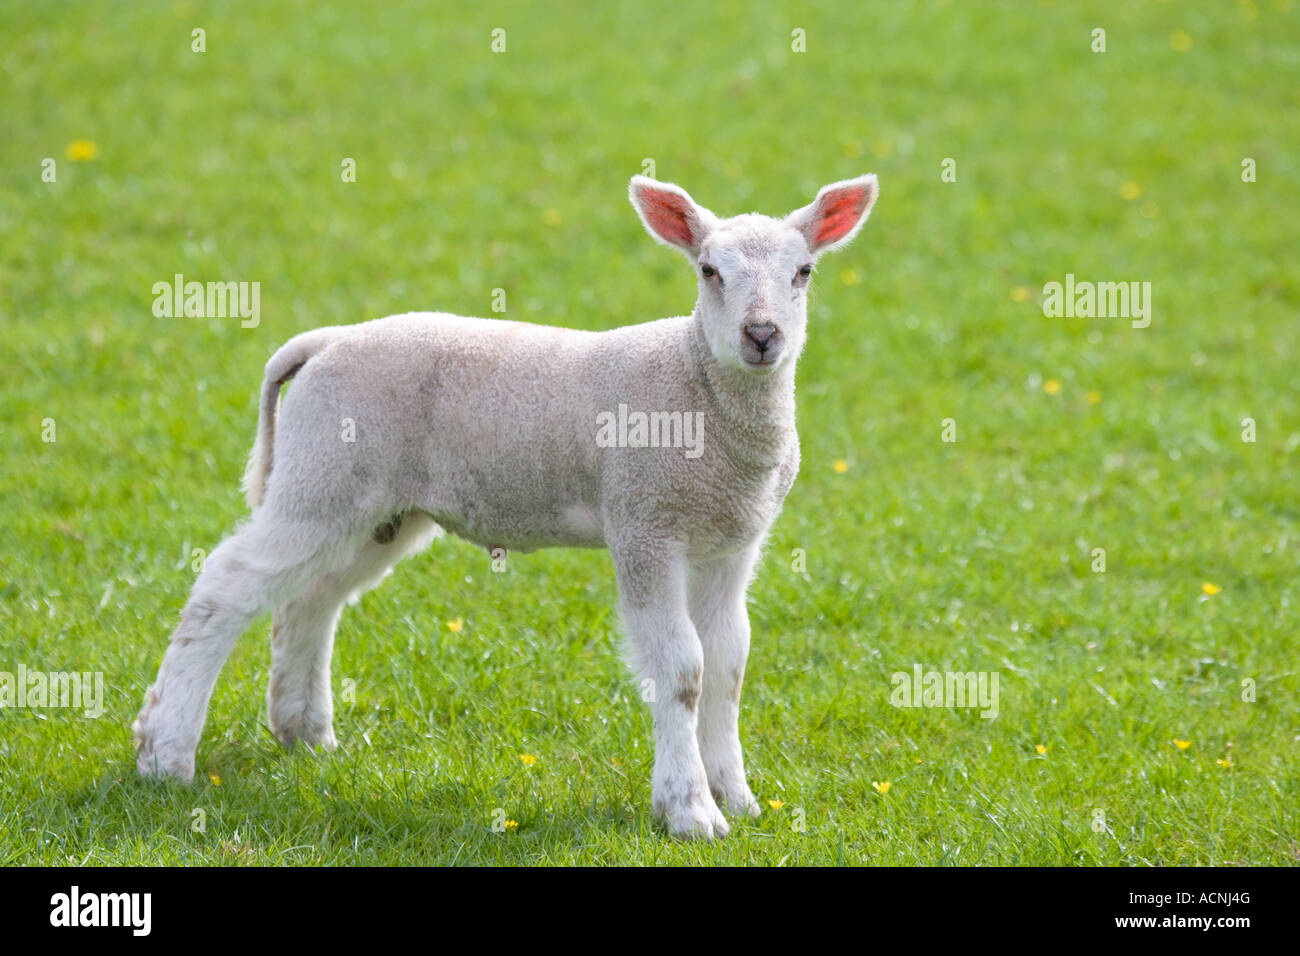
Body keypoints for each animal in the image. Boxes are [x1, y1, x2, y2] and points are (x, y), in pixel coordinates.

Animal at [132, 173, 879, 839]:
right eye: (708, 270)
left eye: (804, 271)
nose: (762, 336)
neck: (699, 390)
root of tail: (324, 342)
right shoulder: (644, 525)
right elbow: (682, 670)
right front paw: (691, 812)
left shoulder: (731, 541)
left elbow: (727, 666)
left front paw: (739, 798)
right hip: (320, 477)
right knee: (226, 587)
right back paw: (164, 754)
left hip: (371, 507)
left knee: (309, 600)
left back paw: (305, 735)